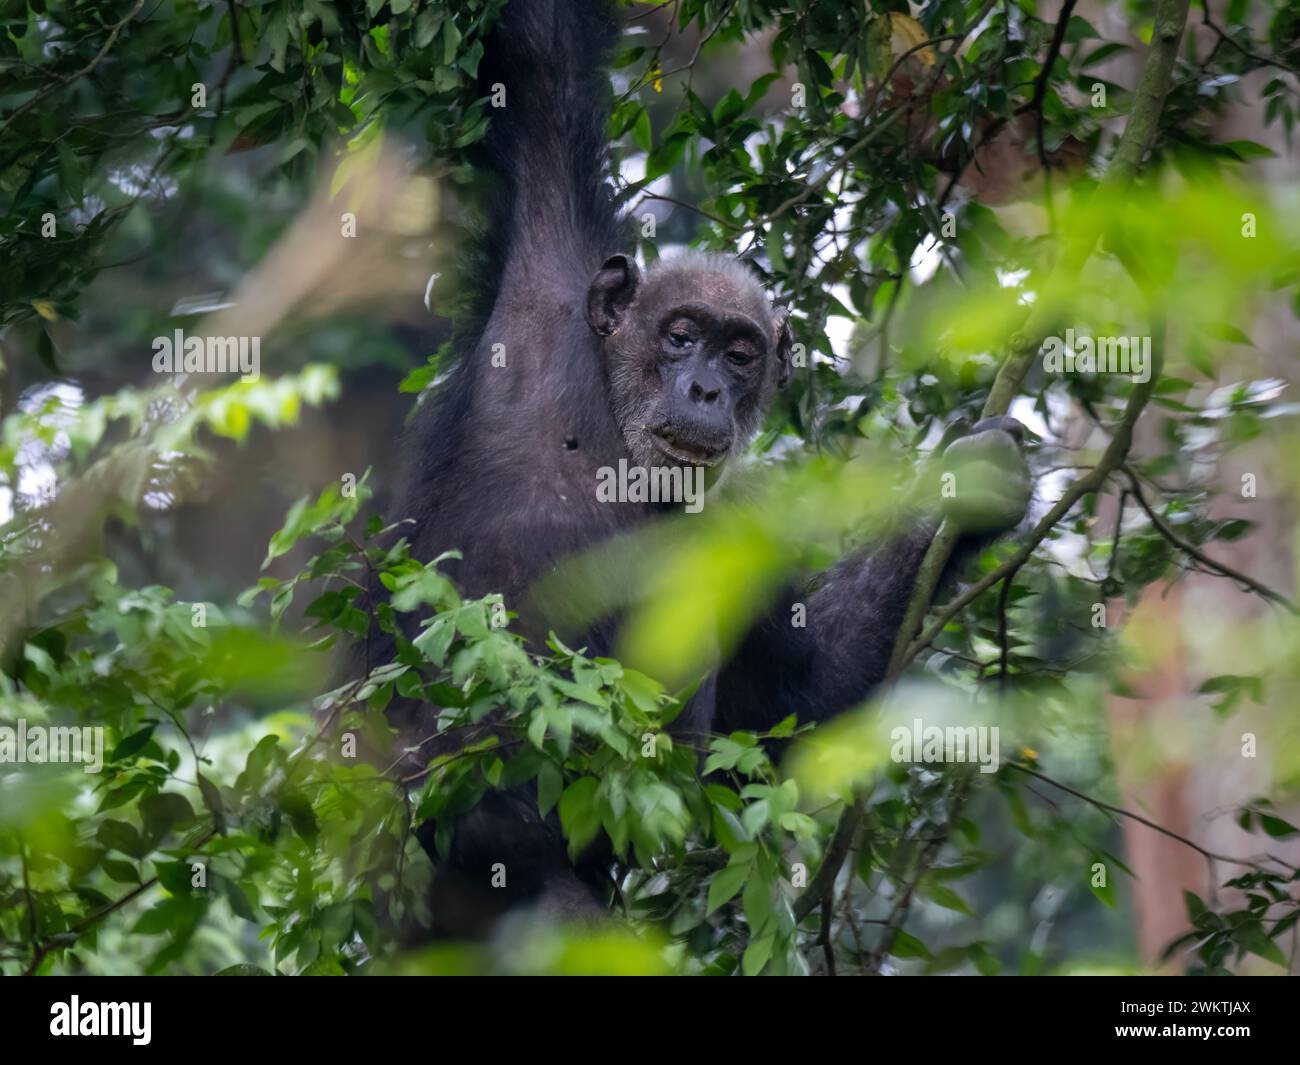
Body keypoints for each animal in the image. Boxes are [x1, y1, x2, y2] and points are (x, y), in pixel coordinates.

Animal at [379, 0, 1032, 938]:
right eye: (681, 334)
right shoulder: (544, 280)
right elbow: (541, 65)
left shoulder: (736, 537)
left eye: (741, 351)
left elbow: (793, 690)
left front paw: (974, 488)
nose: (706, 387)